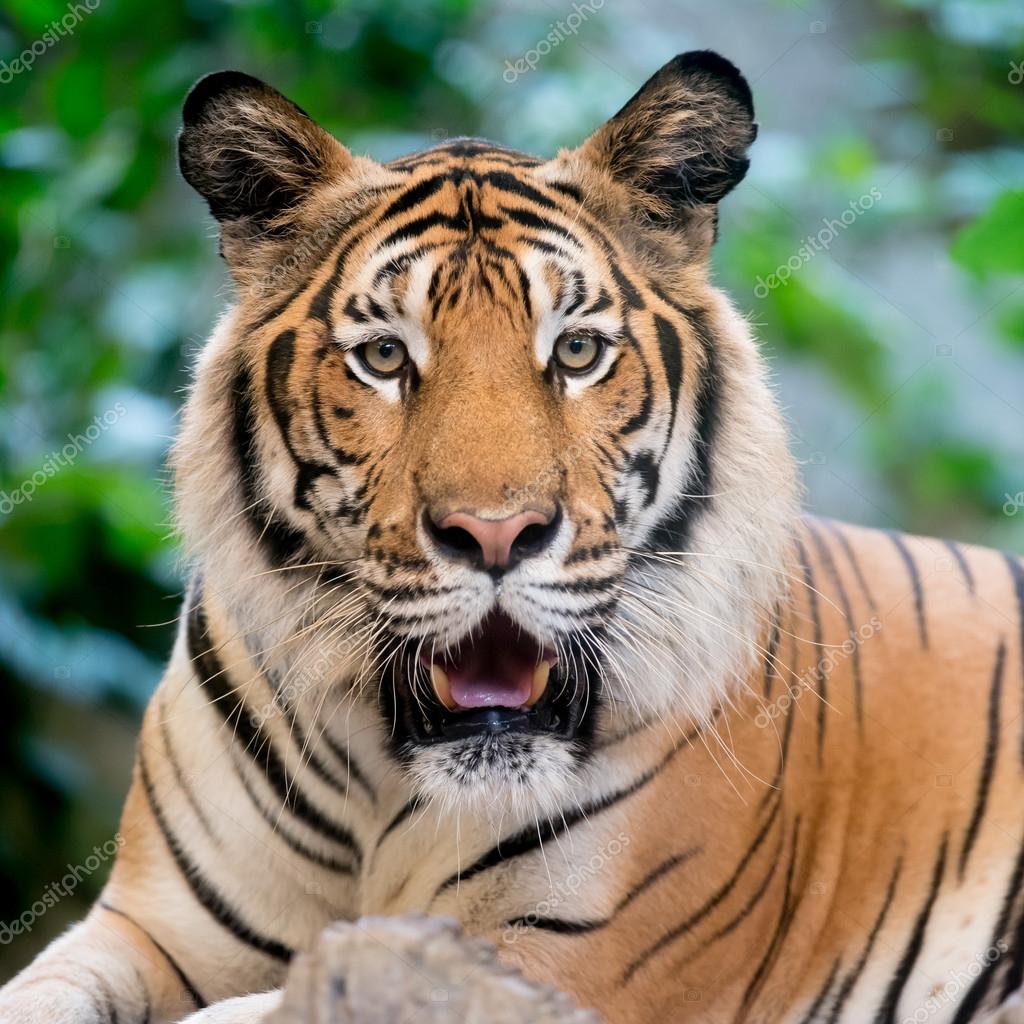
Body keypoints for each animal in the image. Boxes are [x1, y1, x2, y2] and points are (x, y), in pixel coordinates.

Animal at [2, 47, 1024, 1024]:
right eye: (384, 356)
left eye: (576, 351)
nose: (495, 535)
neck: (387, 787)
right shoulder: (149, 928)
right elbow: (41, 994)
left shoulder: (563, 964)